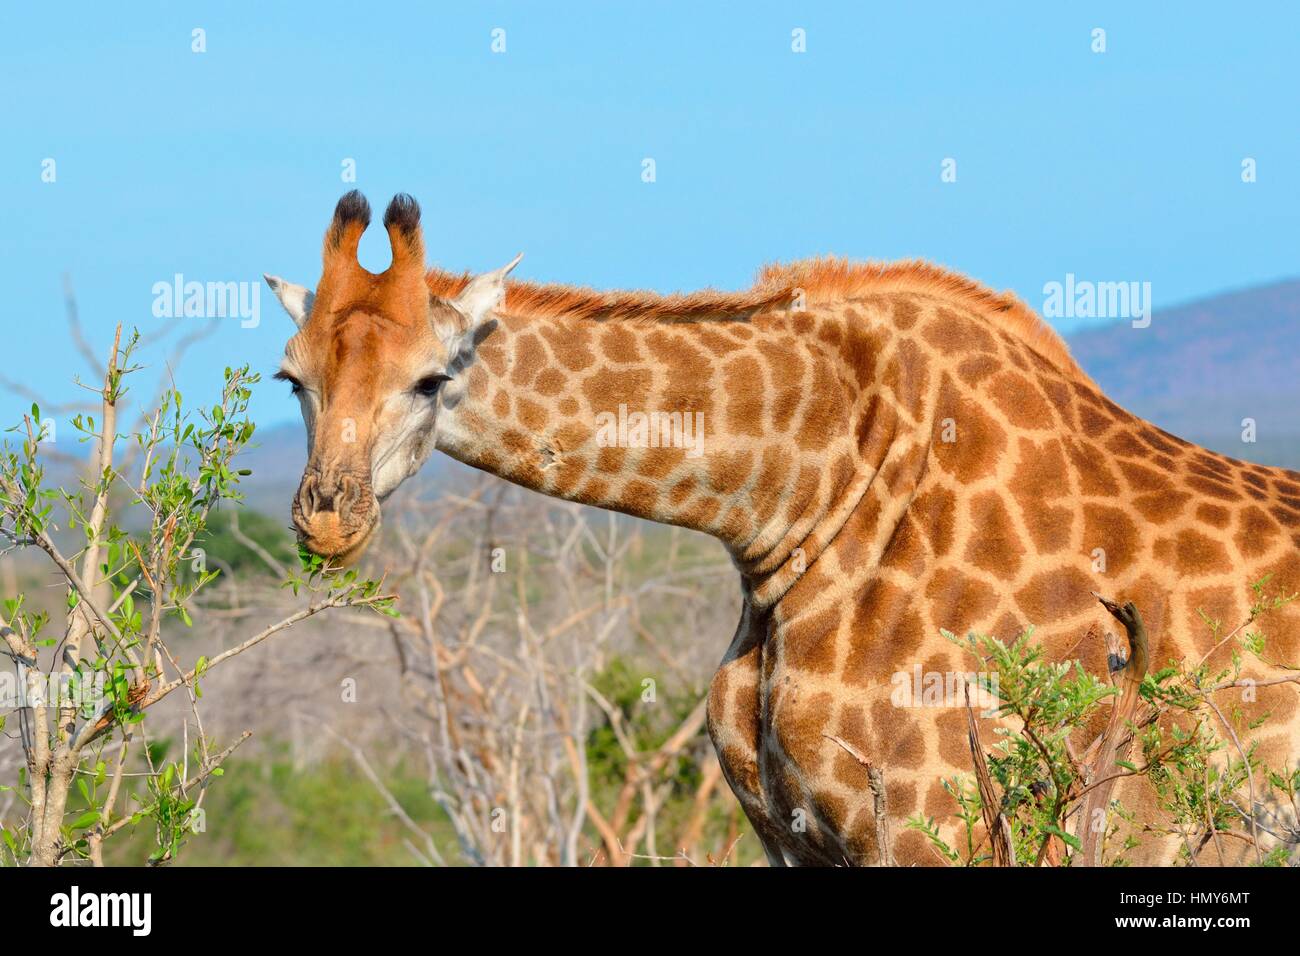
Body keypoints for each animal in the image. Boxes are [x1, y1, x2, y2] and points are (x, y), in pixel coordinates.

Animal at [266, 192, 1300, 865]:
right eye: (290, 376)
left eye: (431, 378)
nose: (329, 518)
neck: (803, 497)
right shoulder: (795, 838)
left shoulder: (942, 826)